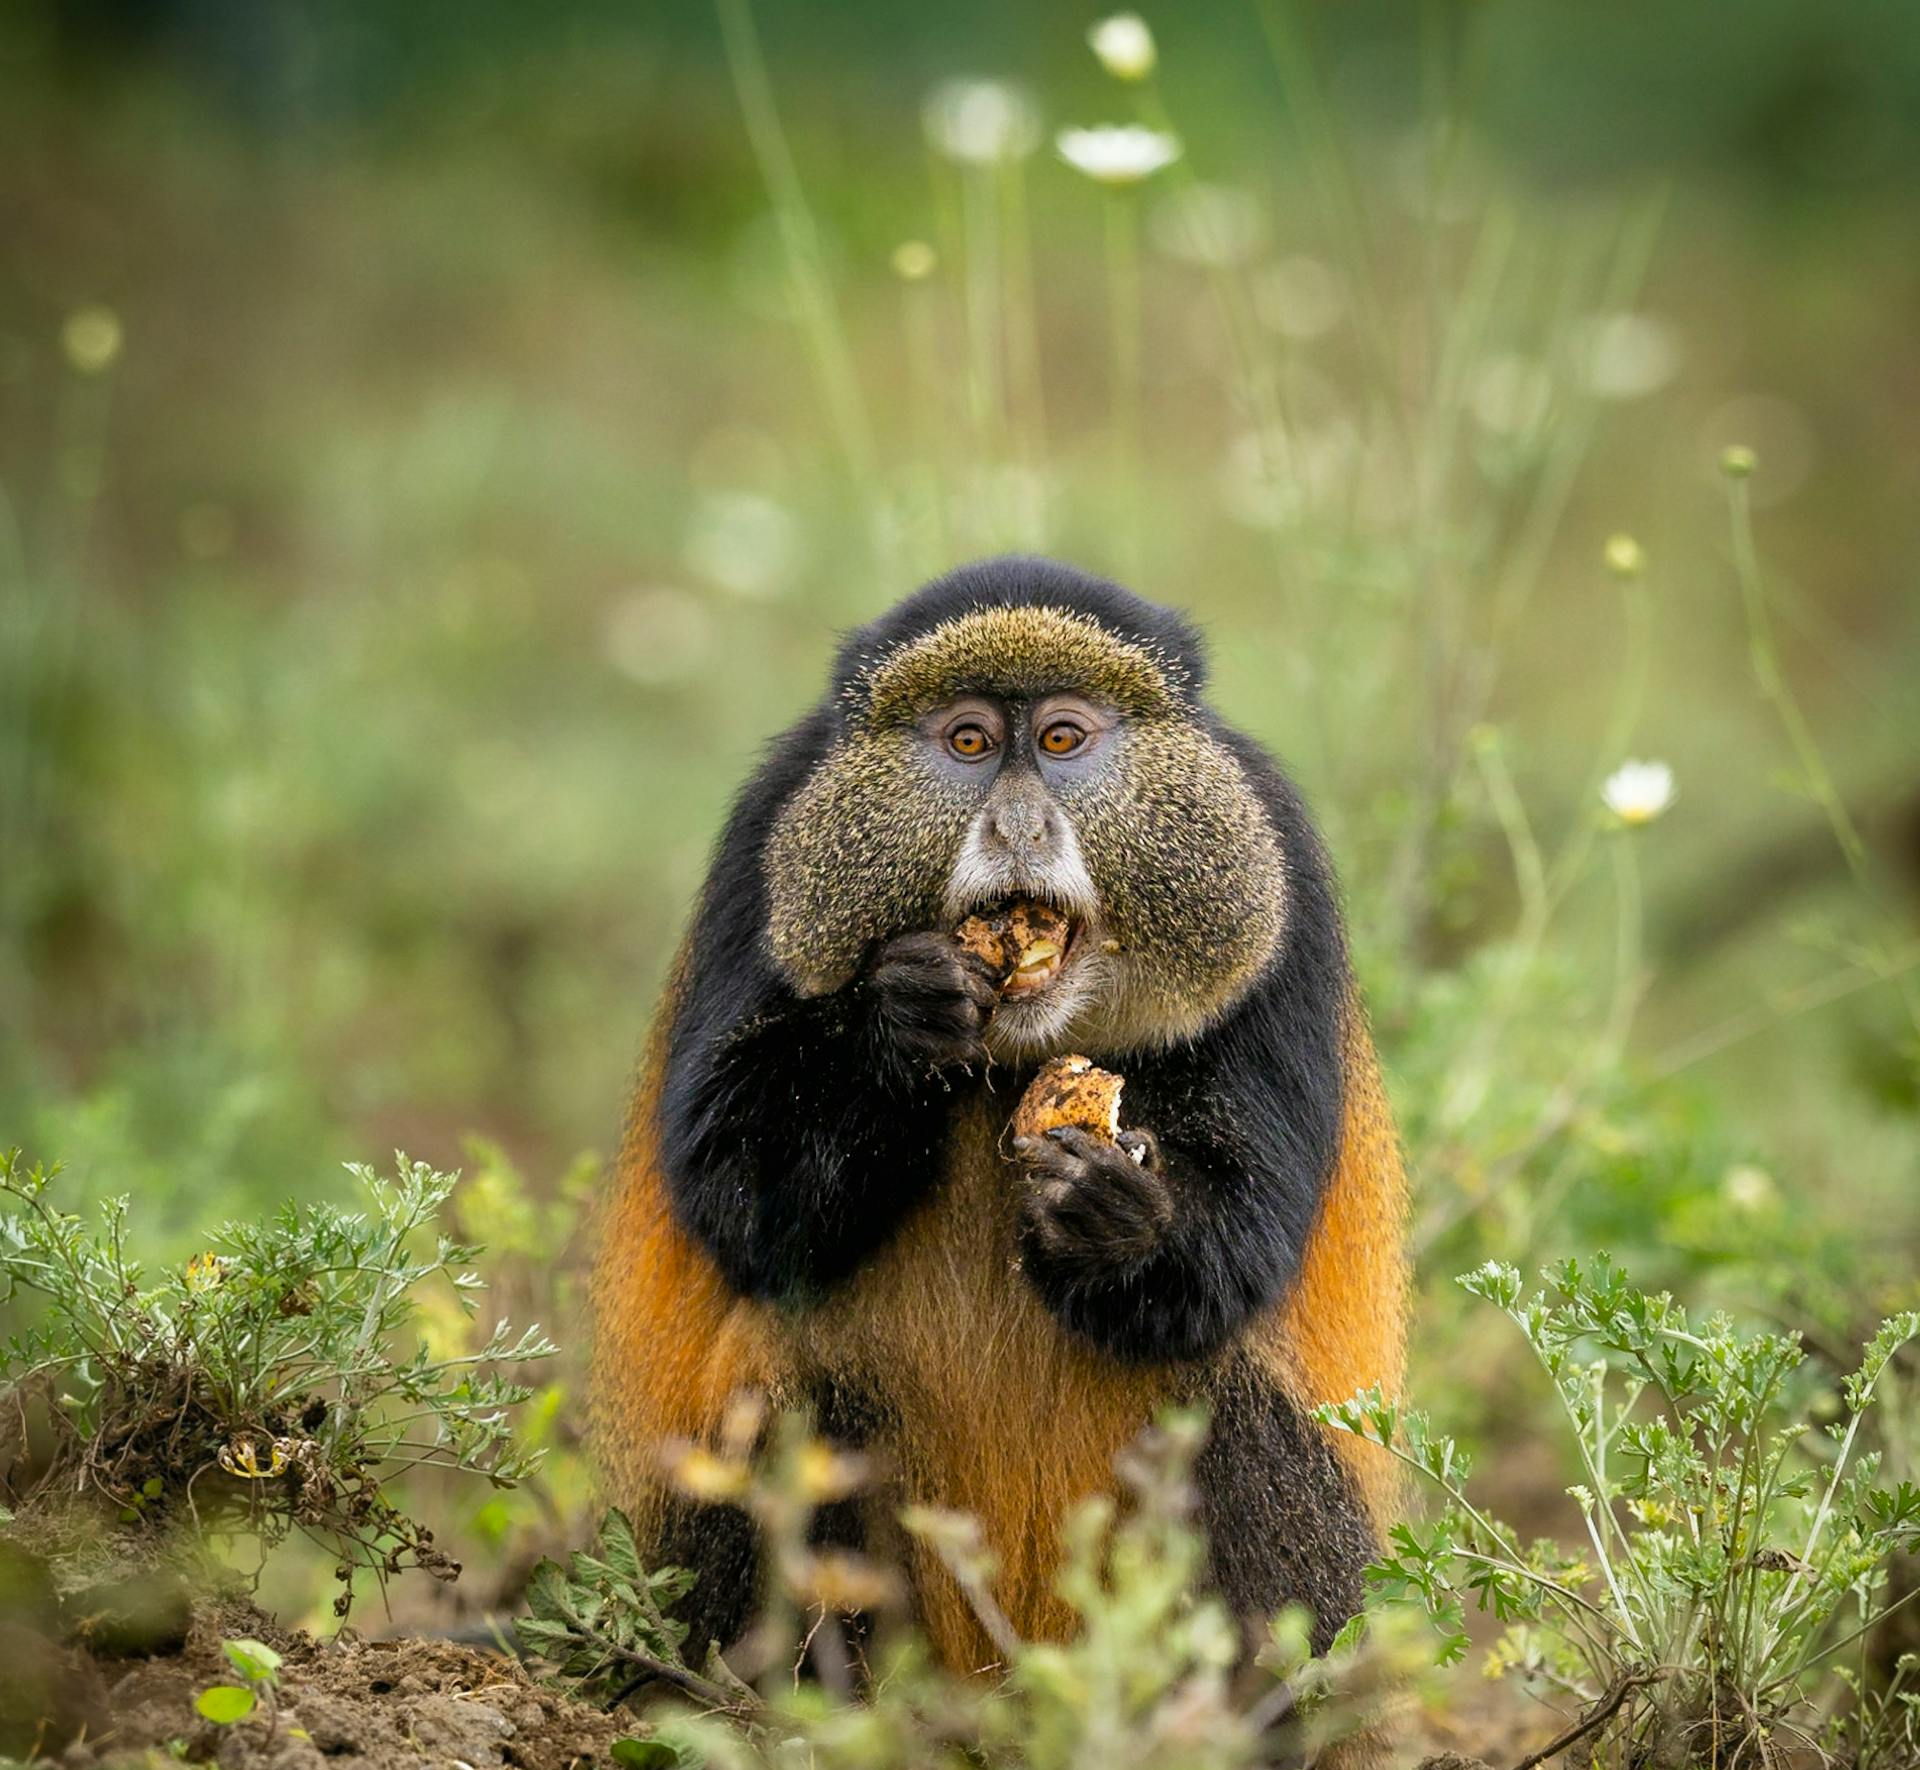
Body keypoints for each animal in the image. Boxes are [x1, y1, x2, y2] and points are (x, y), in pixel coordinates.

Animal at [590, 554, 1408, 1676]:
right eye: (970, 742)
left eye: (1061, 740)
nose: (1018, 826)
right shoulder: (764, 842)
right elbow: (738, 1197)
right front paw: (897, 1023)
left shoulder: (1277, 874)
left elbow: (1247, 1241)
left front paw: (1112, 1215)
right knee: (792, 1367)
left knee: (1217, 1388)